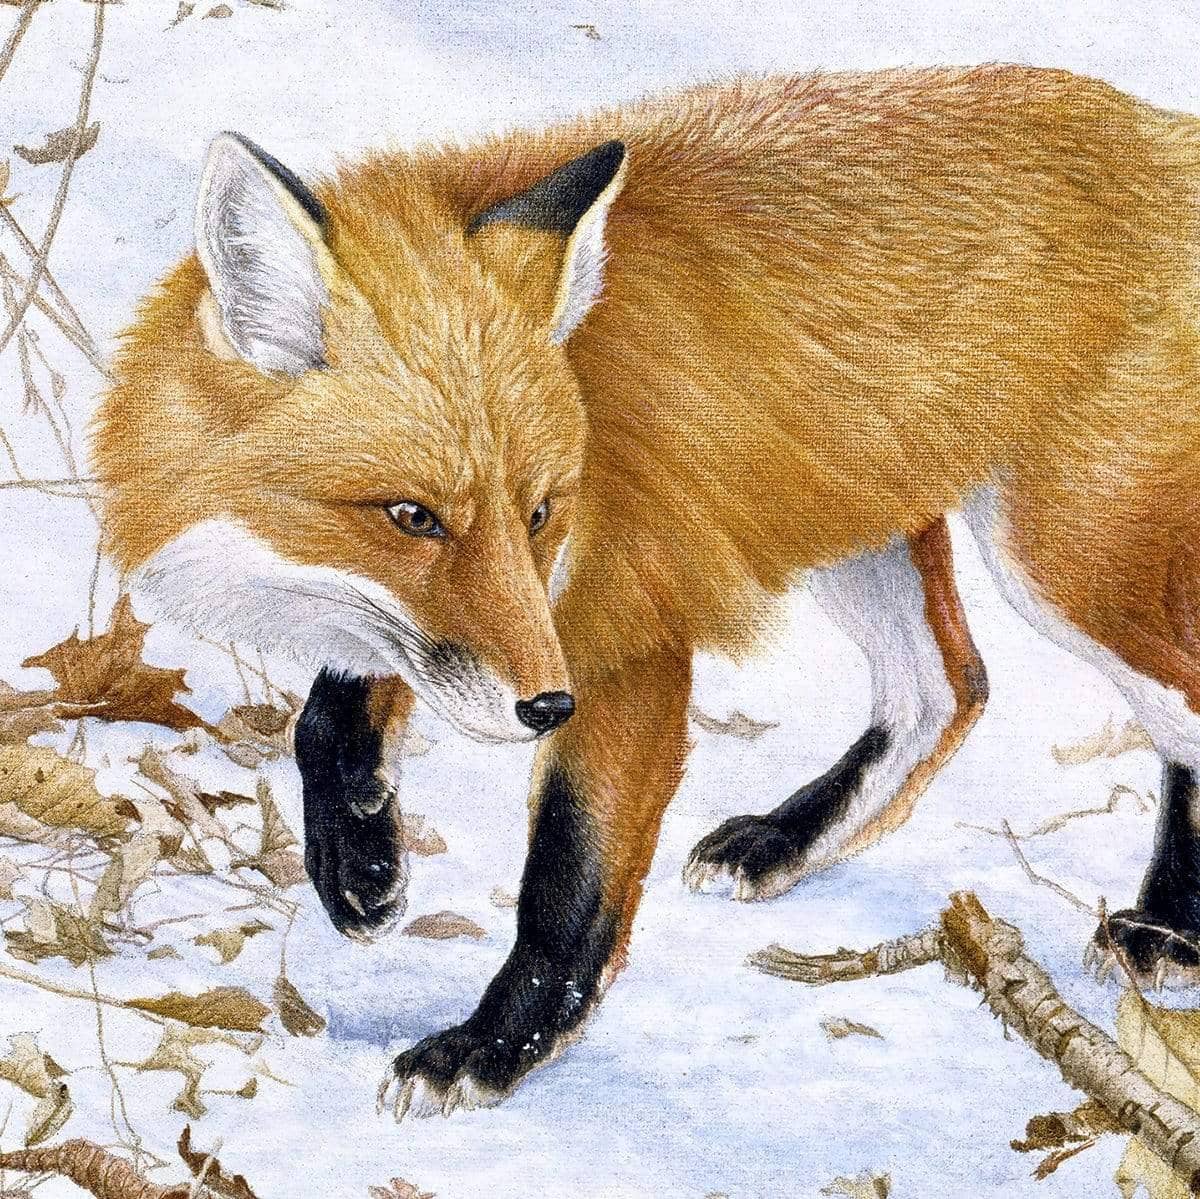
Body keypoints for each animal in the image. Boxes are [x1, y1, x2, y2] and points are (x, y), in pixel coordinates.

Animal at [93, 64, 1200, 1117]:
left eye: (543, 509)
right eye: (412, 516)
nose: (545, 708)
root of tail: (1157, 126)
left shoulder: (623, 631)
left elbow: (567, 885)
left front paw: (491, 1049)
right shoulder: (493, 628)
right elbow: (333, 707)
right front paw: (359, 859)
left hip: (1061, 563)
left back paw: (1167, 931)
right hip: (842, 510)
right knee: (951, 686)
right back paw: (785, 841)